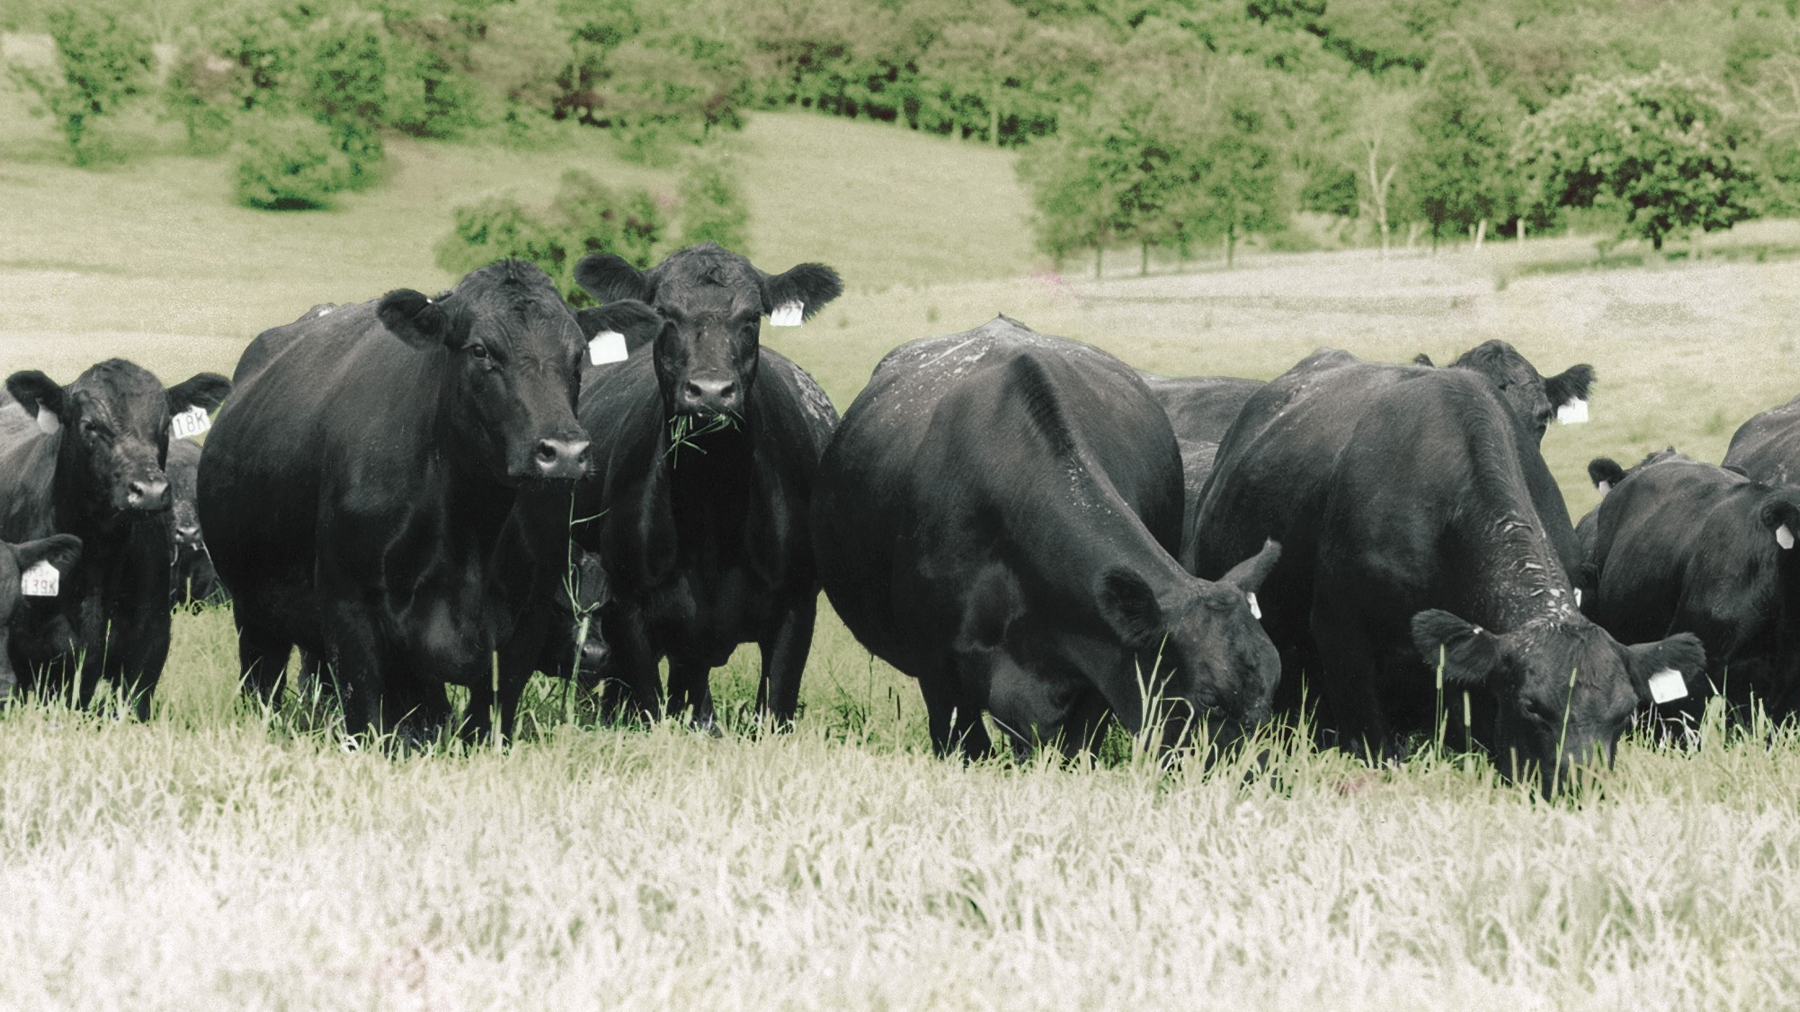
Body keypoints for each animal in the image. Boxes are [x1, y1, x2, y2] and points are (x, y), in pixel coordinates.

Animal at [198, 260, 649, 741]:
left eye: (578, 354)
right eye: (479, 350)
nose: (564, 451)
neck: (472, 531)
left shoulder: (527, 620)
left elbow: (489, 723)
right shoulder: (348, 606)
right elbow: (366, 719)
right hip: (253, 612)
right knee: (263, 684)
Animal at [567, 243, 844, 729]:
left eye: (752, 317)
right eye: (664, 313)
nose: (711, 391)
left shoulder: (796, 606)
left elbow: (775, 708)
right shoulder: (626, 606)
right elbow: (647, 705)